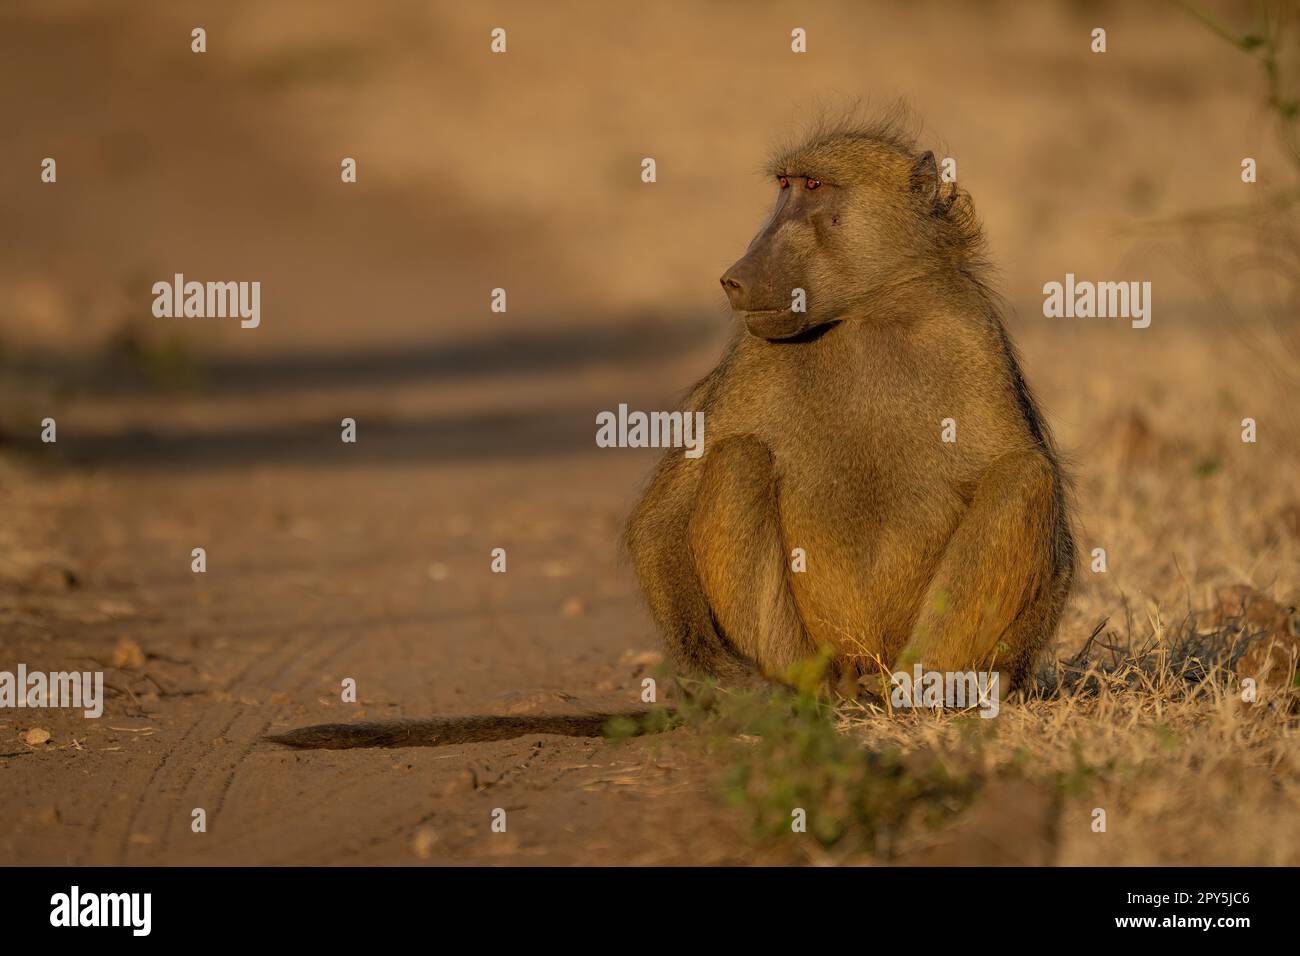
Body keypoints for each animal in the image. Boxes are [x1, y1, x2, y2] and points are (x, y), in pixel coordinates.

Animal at [625, 112, 1075, 696]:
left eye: (814, 185)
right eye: (784, 186)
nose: (735, 278)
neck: (869, 312)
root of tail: (864, 661)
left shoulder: (972, 334)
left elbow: (1049, 531)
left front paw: (989, 684)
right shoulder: (753, 350)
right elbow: (659, 524)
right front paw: (725, 676)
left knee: (1024, 476)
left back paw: (919, 687)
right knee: (738, 457)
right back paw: (806, 686)